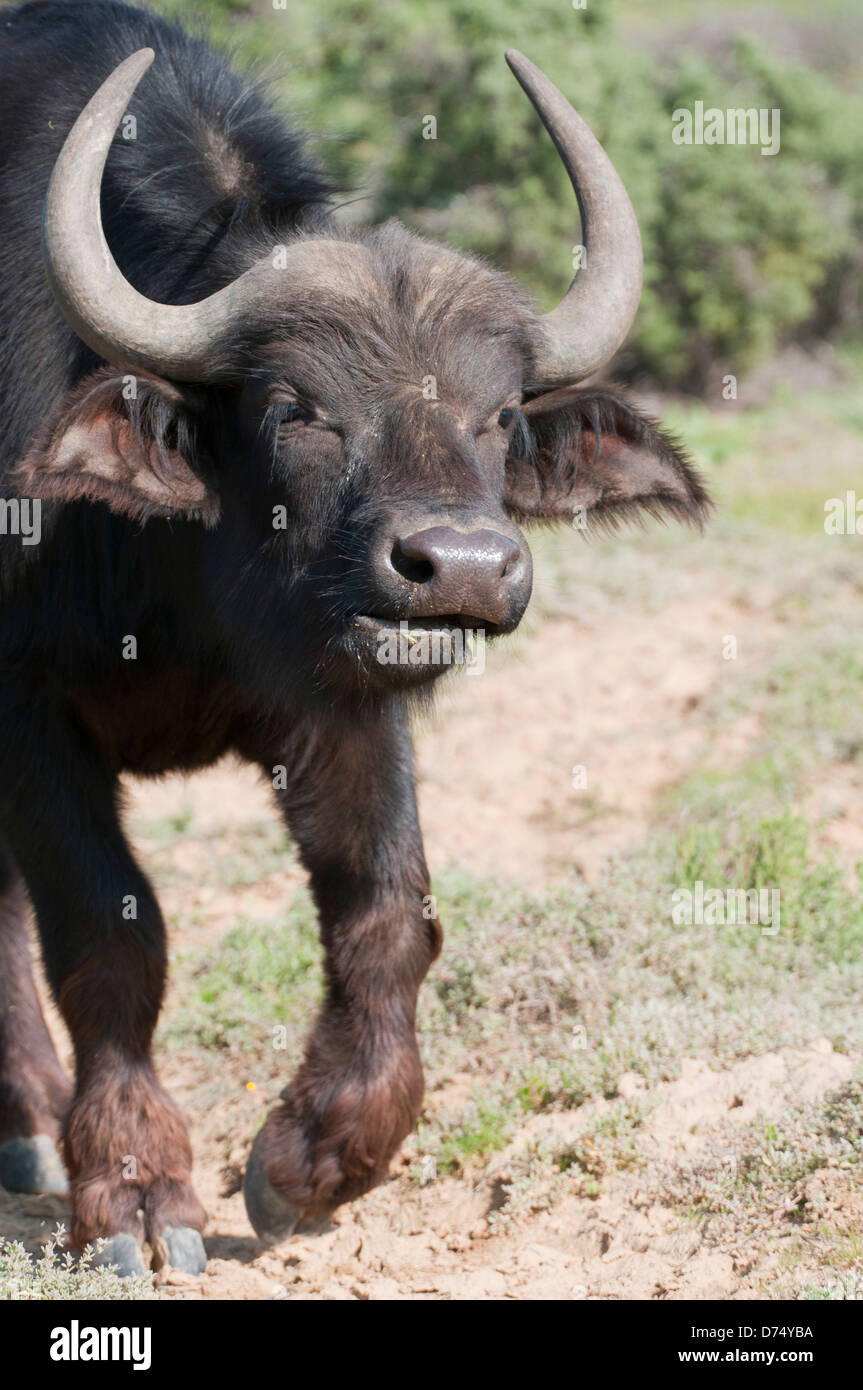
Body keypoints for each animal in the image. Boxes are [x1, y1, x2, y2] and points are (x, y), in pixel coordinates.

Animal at [0, 0, 710, 1274]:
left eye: (497, 415)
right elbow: (106, 932)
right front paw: (133, 1187)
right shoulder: (27, 708)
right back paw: (27, 1123)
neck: (183, 584)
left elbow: (389, 916)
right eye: (298, 409)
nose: (461, 567)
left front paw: (312, 1158)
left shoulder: (338, 700)